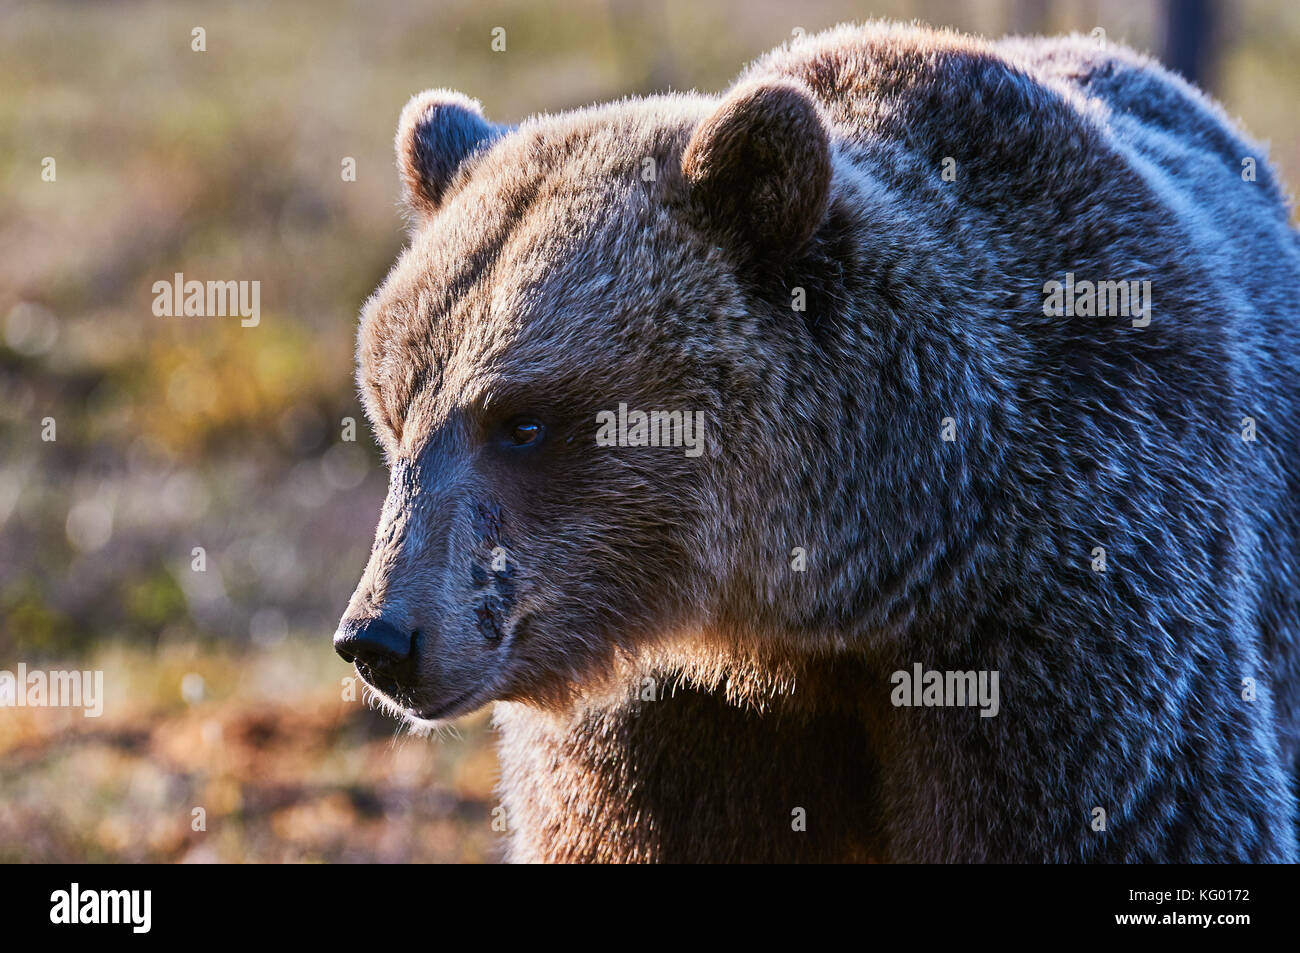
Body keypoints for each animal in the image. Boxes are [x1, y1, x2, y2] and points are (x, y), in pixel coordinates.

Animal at [334, 21, 1300, 862]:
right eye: (393, 409)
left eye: (521, 422)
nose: (379, 637)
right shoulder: (661, 724)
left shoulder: (1067, 607)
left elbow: (1134, 811)